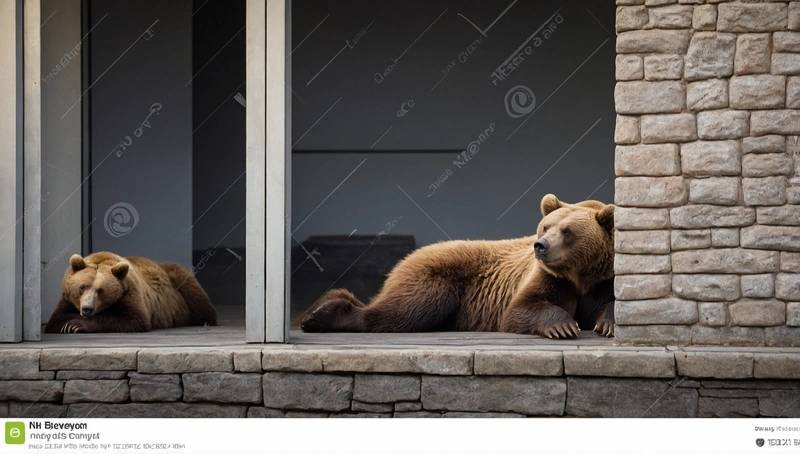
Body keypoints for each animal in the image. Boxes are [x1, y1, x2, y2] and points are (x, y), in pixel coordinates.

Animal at [45, 251, 217, 333]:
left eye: (100, 290)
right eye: (82, 287)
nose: (87, 309)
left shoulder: (129, 293)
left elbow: (133, 319)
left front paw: (75, 325)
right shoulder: (67, 299)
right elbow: (56, 318)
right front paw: (68, 325)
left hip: (180, 281)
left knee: (198, 300)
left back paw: (206, 320)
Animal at [300, 194, 615, 339]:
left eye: (567, 231)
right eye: (545, 226)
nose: (541, 246)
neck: (579, 275)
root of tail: (408, 256)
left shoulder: (602, 279)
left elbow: (610, 302)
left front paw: (606, 323)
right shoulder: (547, 278)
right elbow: (521, 308)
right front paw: (563, 326)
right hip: (438, 280)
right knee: (403, 311)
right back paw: (320, 313)